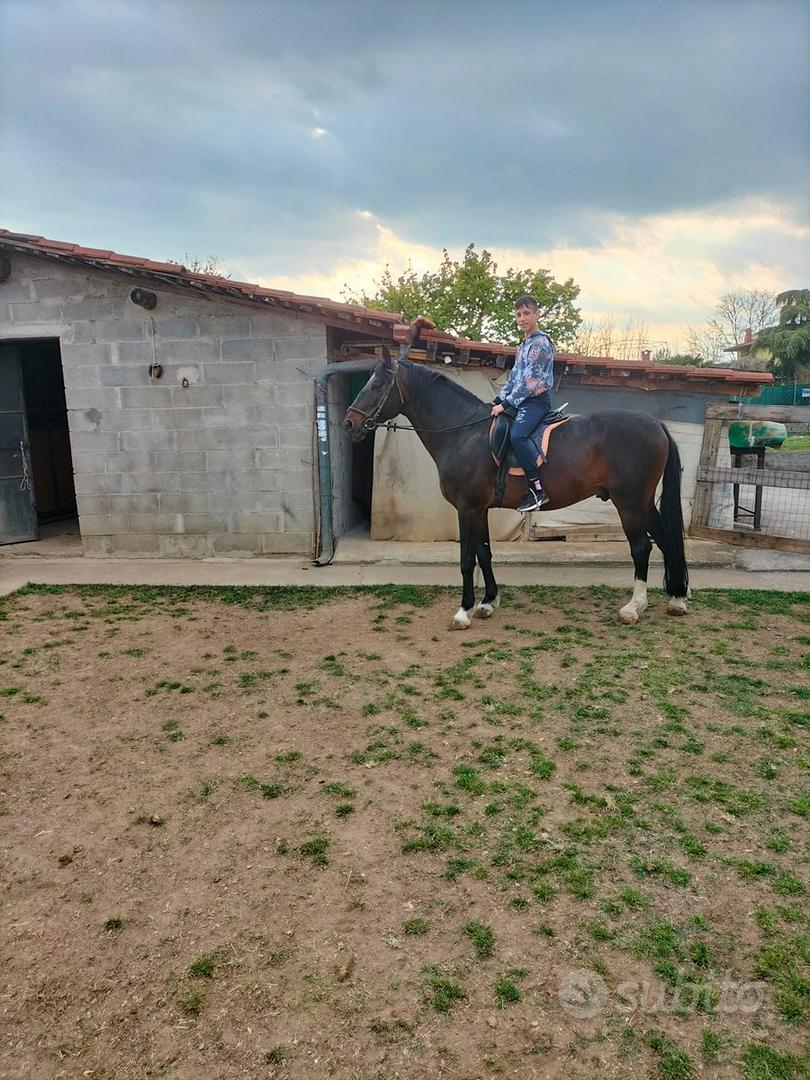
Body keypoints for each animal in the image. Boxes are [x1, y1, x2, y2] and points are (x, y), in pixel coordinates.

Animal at [342, 327, 689, 629]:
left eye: (377, 385)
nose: (349, 424)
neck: (464, 433)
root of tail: (656, 424)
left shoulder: (466, 508)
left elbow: (467, 558)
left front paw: (463, 612)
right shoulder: (479, 509)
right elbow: (484, 553)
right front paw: (487, 603)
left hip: (629, 503)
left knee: (641, 547)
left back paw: (633, 607)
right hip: (643, 502)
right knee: (664, 539)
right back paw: (676, 600)